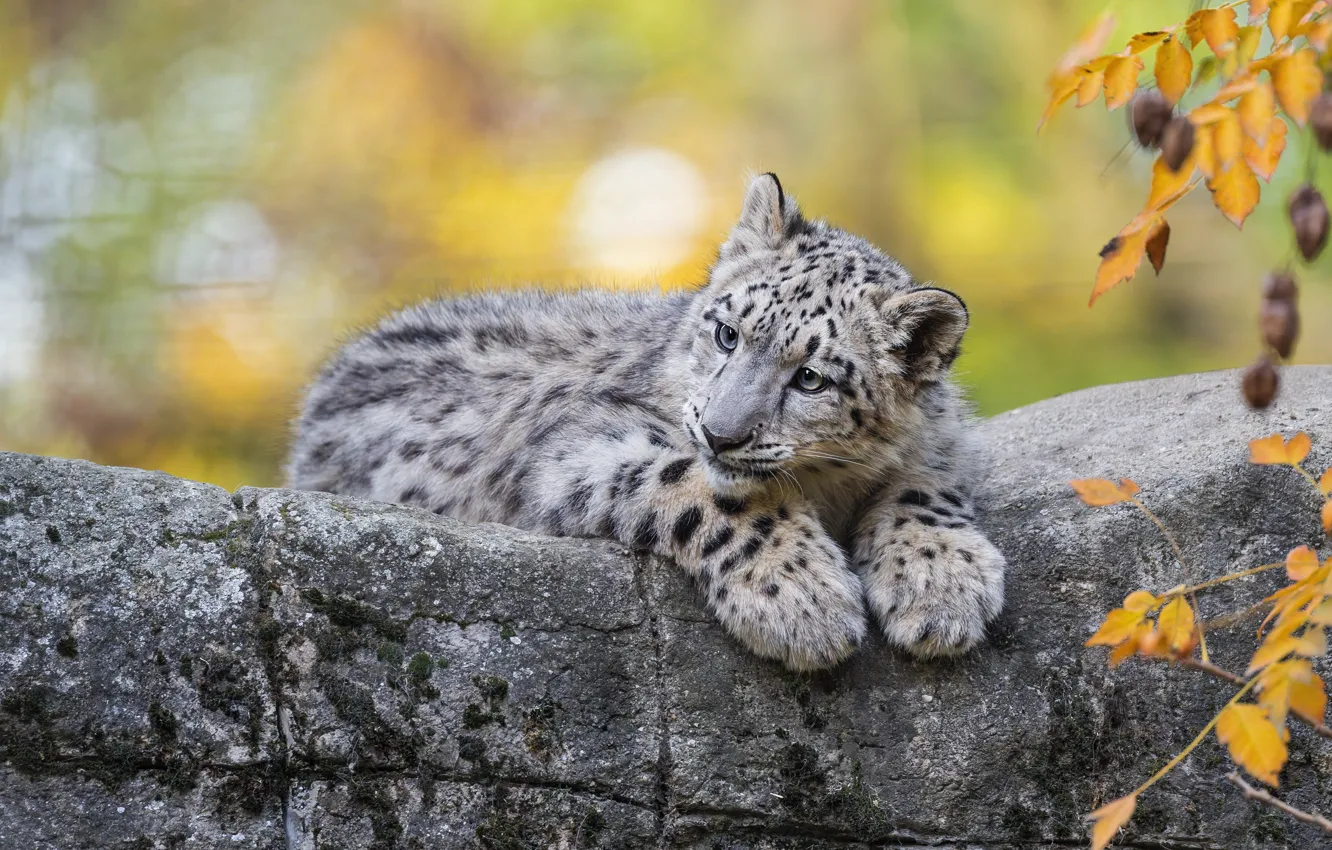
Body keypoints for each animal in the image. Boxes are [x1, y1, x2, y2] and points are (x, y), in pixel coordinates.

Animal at [286, 173, 1006, 671]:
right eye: (726, 332)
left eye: (810, 377)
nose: (720, 433)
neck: (827, 483)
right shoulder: (581, 446)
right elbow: (701, 488)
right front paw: (806, 602)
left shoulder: (941, 441)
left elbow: (924, 483)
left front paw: (941, 586)